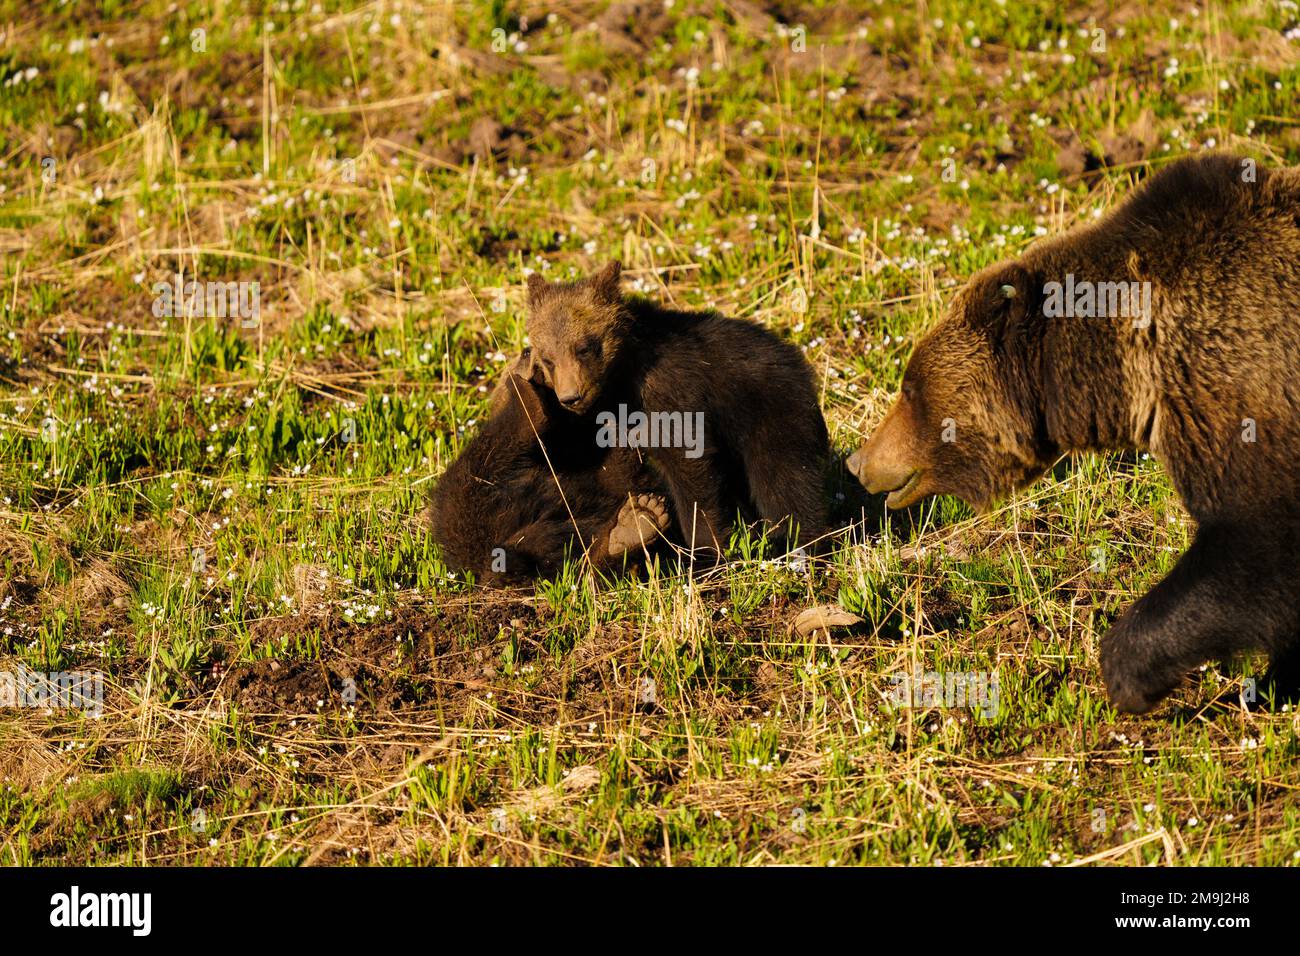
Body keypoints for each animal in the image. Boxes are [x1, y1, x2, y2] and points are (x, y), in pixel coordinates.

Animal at [524, 261, 830, 555]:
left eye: (584, 347)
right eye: (548, 359)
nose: (571, 397)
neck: (624, 379)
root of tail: (799, 364)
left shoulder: (672, 392)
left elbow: (689, 468)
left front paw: (706, 547)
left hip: (771, 413)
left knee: (785, 483)